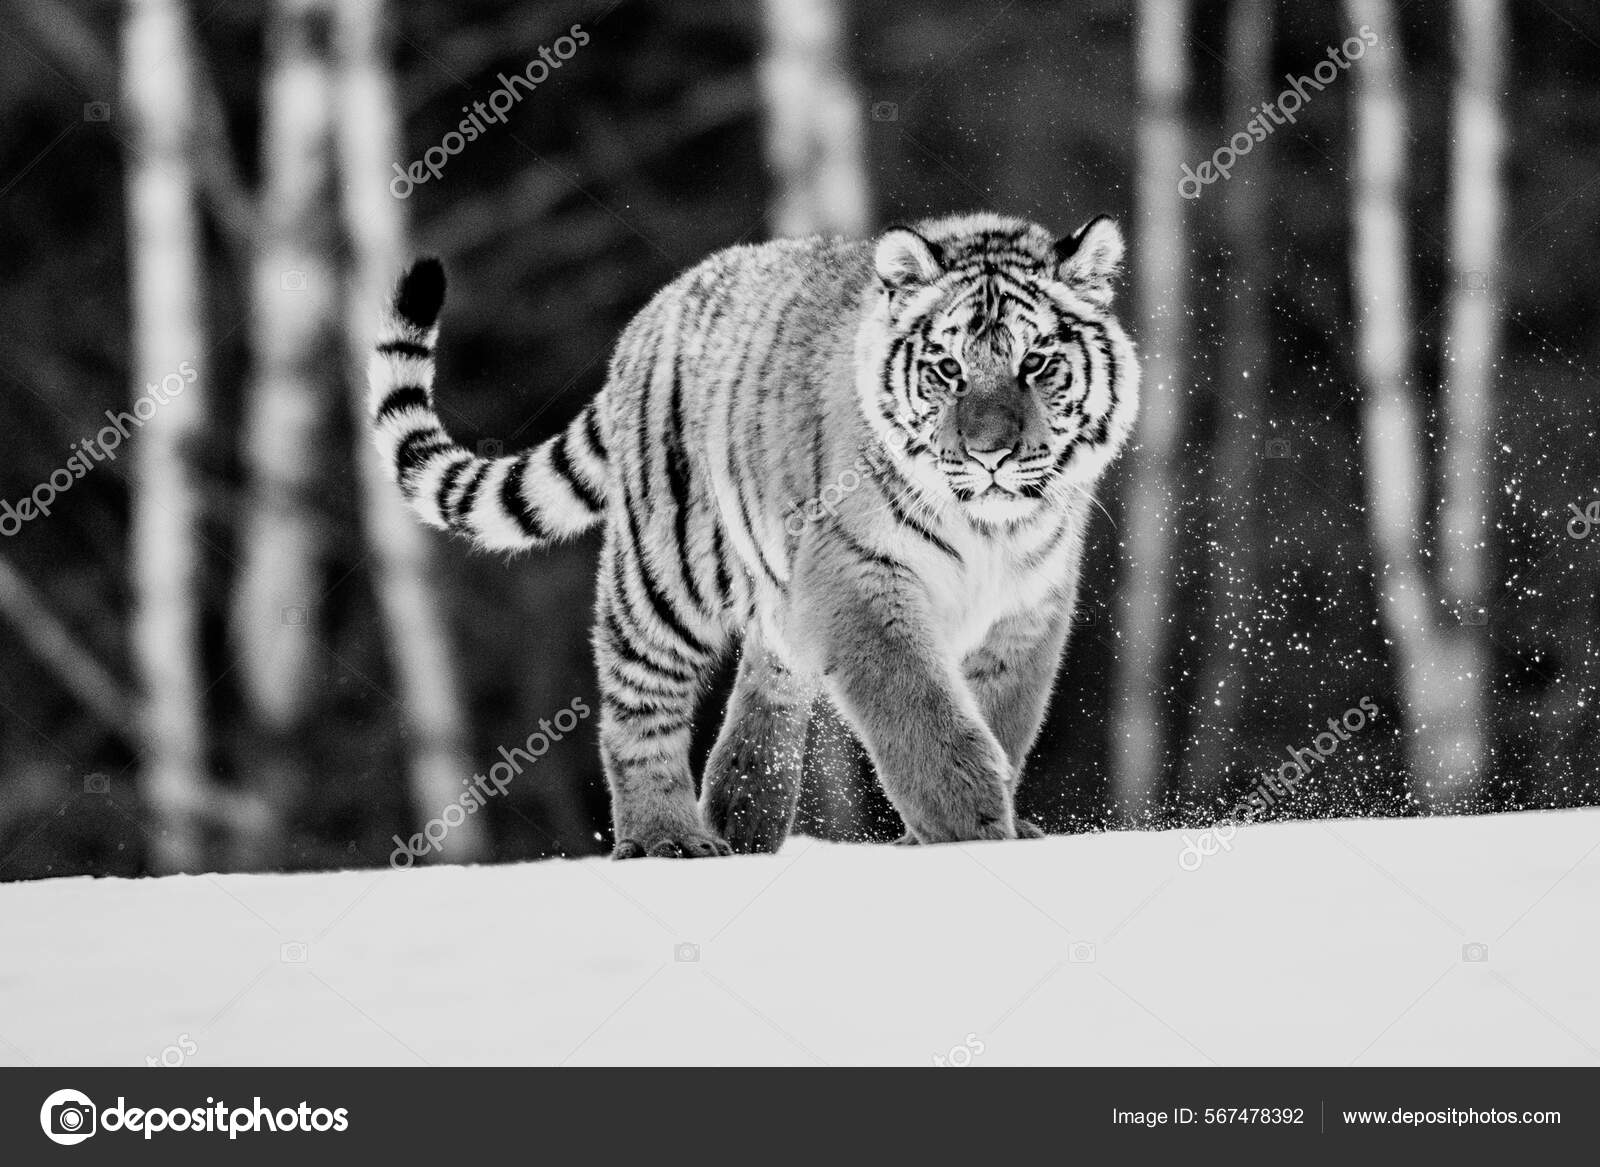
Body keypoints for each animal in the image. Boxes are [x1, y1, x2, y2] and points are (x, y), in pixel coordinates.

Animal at [367, 211, 1139, 859]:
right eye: (948, 369)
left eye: (1035, 363)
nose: (989, 454)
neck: (989, 526)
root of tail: (653, 313)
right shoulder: (863, 572)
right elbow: (918, 705)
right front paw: (966, 823)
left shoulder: (1028, 606)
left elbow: (1003, 713)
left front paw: (994, 819)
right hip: (665, 575)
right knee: (636, 706)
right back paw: (667, 839)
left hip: (775, 594)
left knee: (764, 690)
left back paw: (741, 819)